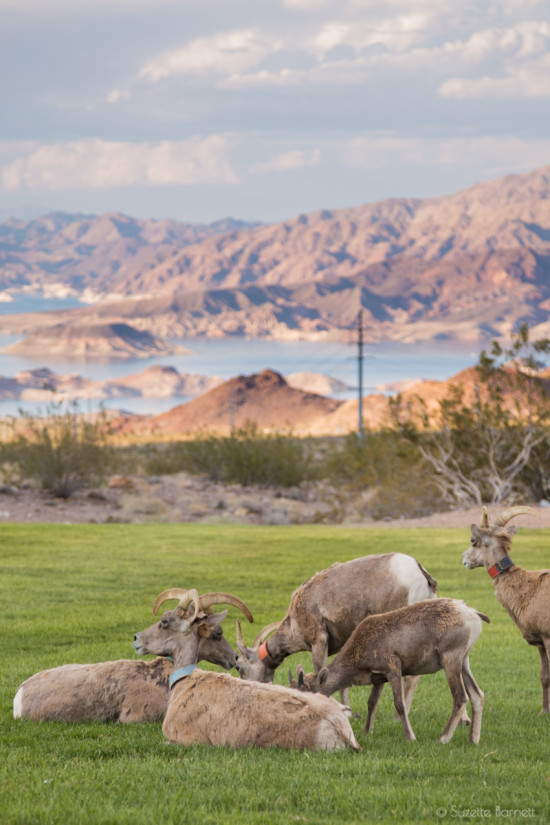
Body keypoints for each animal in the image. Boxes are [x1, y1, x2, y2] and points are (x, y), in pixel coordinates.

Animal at [289, 598, 488, 744]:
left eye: (310, 693)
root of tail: (474, 615)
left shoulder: (393, 669)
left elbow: (399, 704)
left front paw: (411, 738)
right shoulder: (379, 678)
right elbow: (372, 702)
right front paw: (367, 732)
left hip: (450, 659)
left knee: (460, 697)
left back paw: (443, 739)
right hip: (464, 661)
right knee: (477, 694)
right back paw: (473, 739)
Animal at [462, 505, 549, 713]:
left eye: (473, 540)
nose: (464, 559)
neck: (527, 590)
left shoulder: (549, 638)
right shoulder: (541, 643)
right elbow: (545, 677)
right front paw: (544, 712)